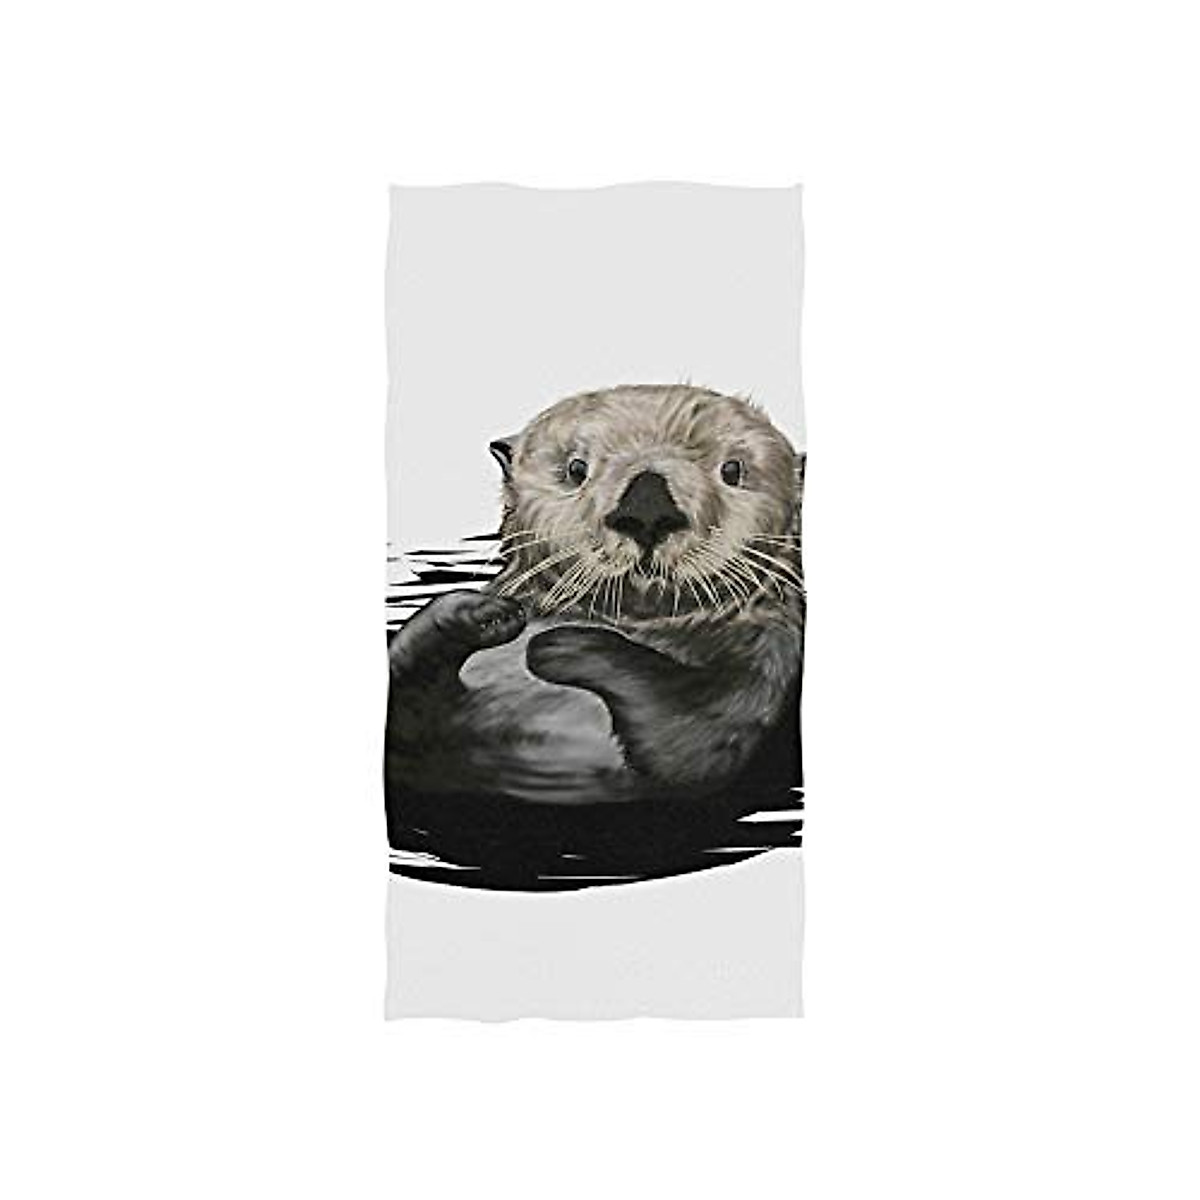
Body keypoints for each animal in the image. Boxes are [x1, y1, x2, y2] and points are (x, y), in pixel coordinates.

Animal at [386, 384, 805, 807]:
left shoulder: (766, 667)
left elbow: (692, 735)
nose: (647, 510)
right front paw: (484, 613)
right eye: (576, 469)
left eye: (732, 470)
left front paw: (556, 646)